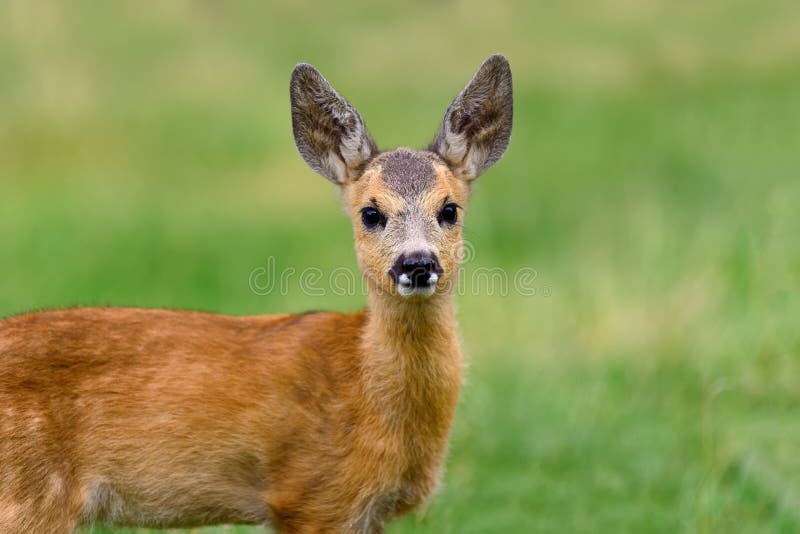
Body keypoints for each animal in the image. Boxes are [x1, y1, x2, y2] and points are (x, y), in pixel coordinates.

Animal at [0, 54, 512, 533]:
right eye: (371, 213)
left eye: (449, 209)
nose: (417, 263)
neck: (364, 387)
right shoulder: (313, 496)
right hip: (27, 497)